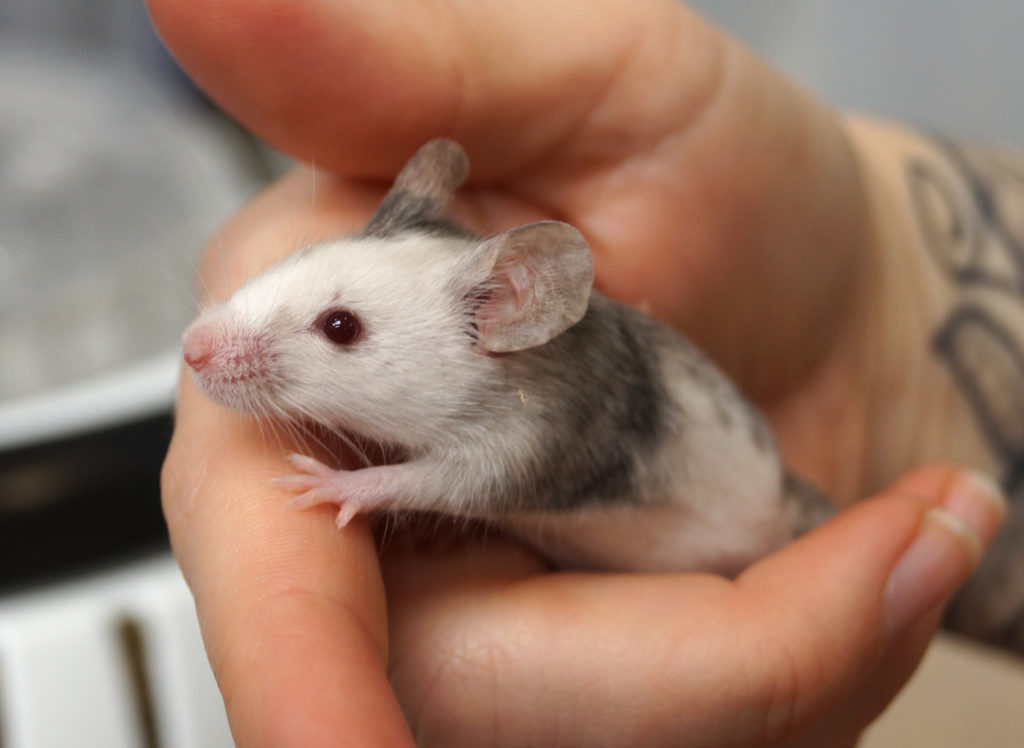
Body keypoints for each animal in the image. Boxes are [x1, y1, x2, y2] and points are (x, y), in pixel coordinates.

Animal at [182, 139, 833, 575]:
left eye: (340, 327)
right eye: (299, 255)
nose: (192, 349)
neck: (525, 355)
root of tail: (787, 494)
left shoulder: (535, 437)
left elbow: (448, 482)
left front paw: (343, 485)